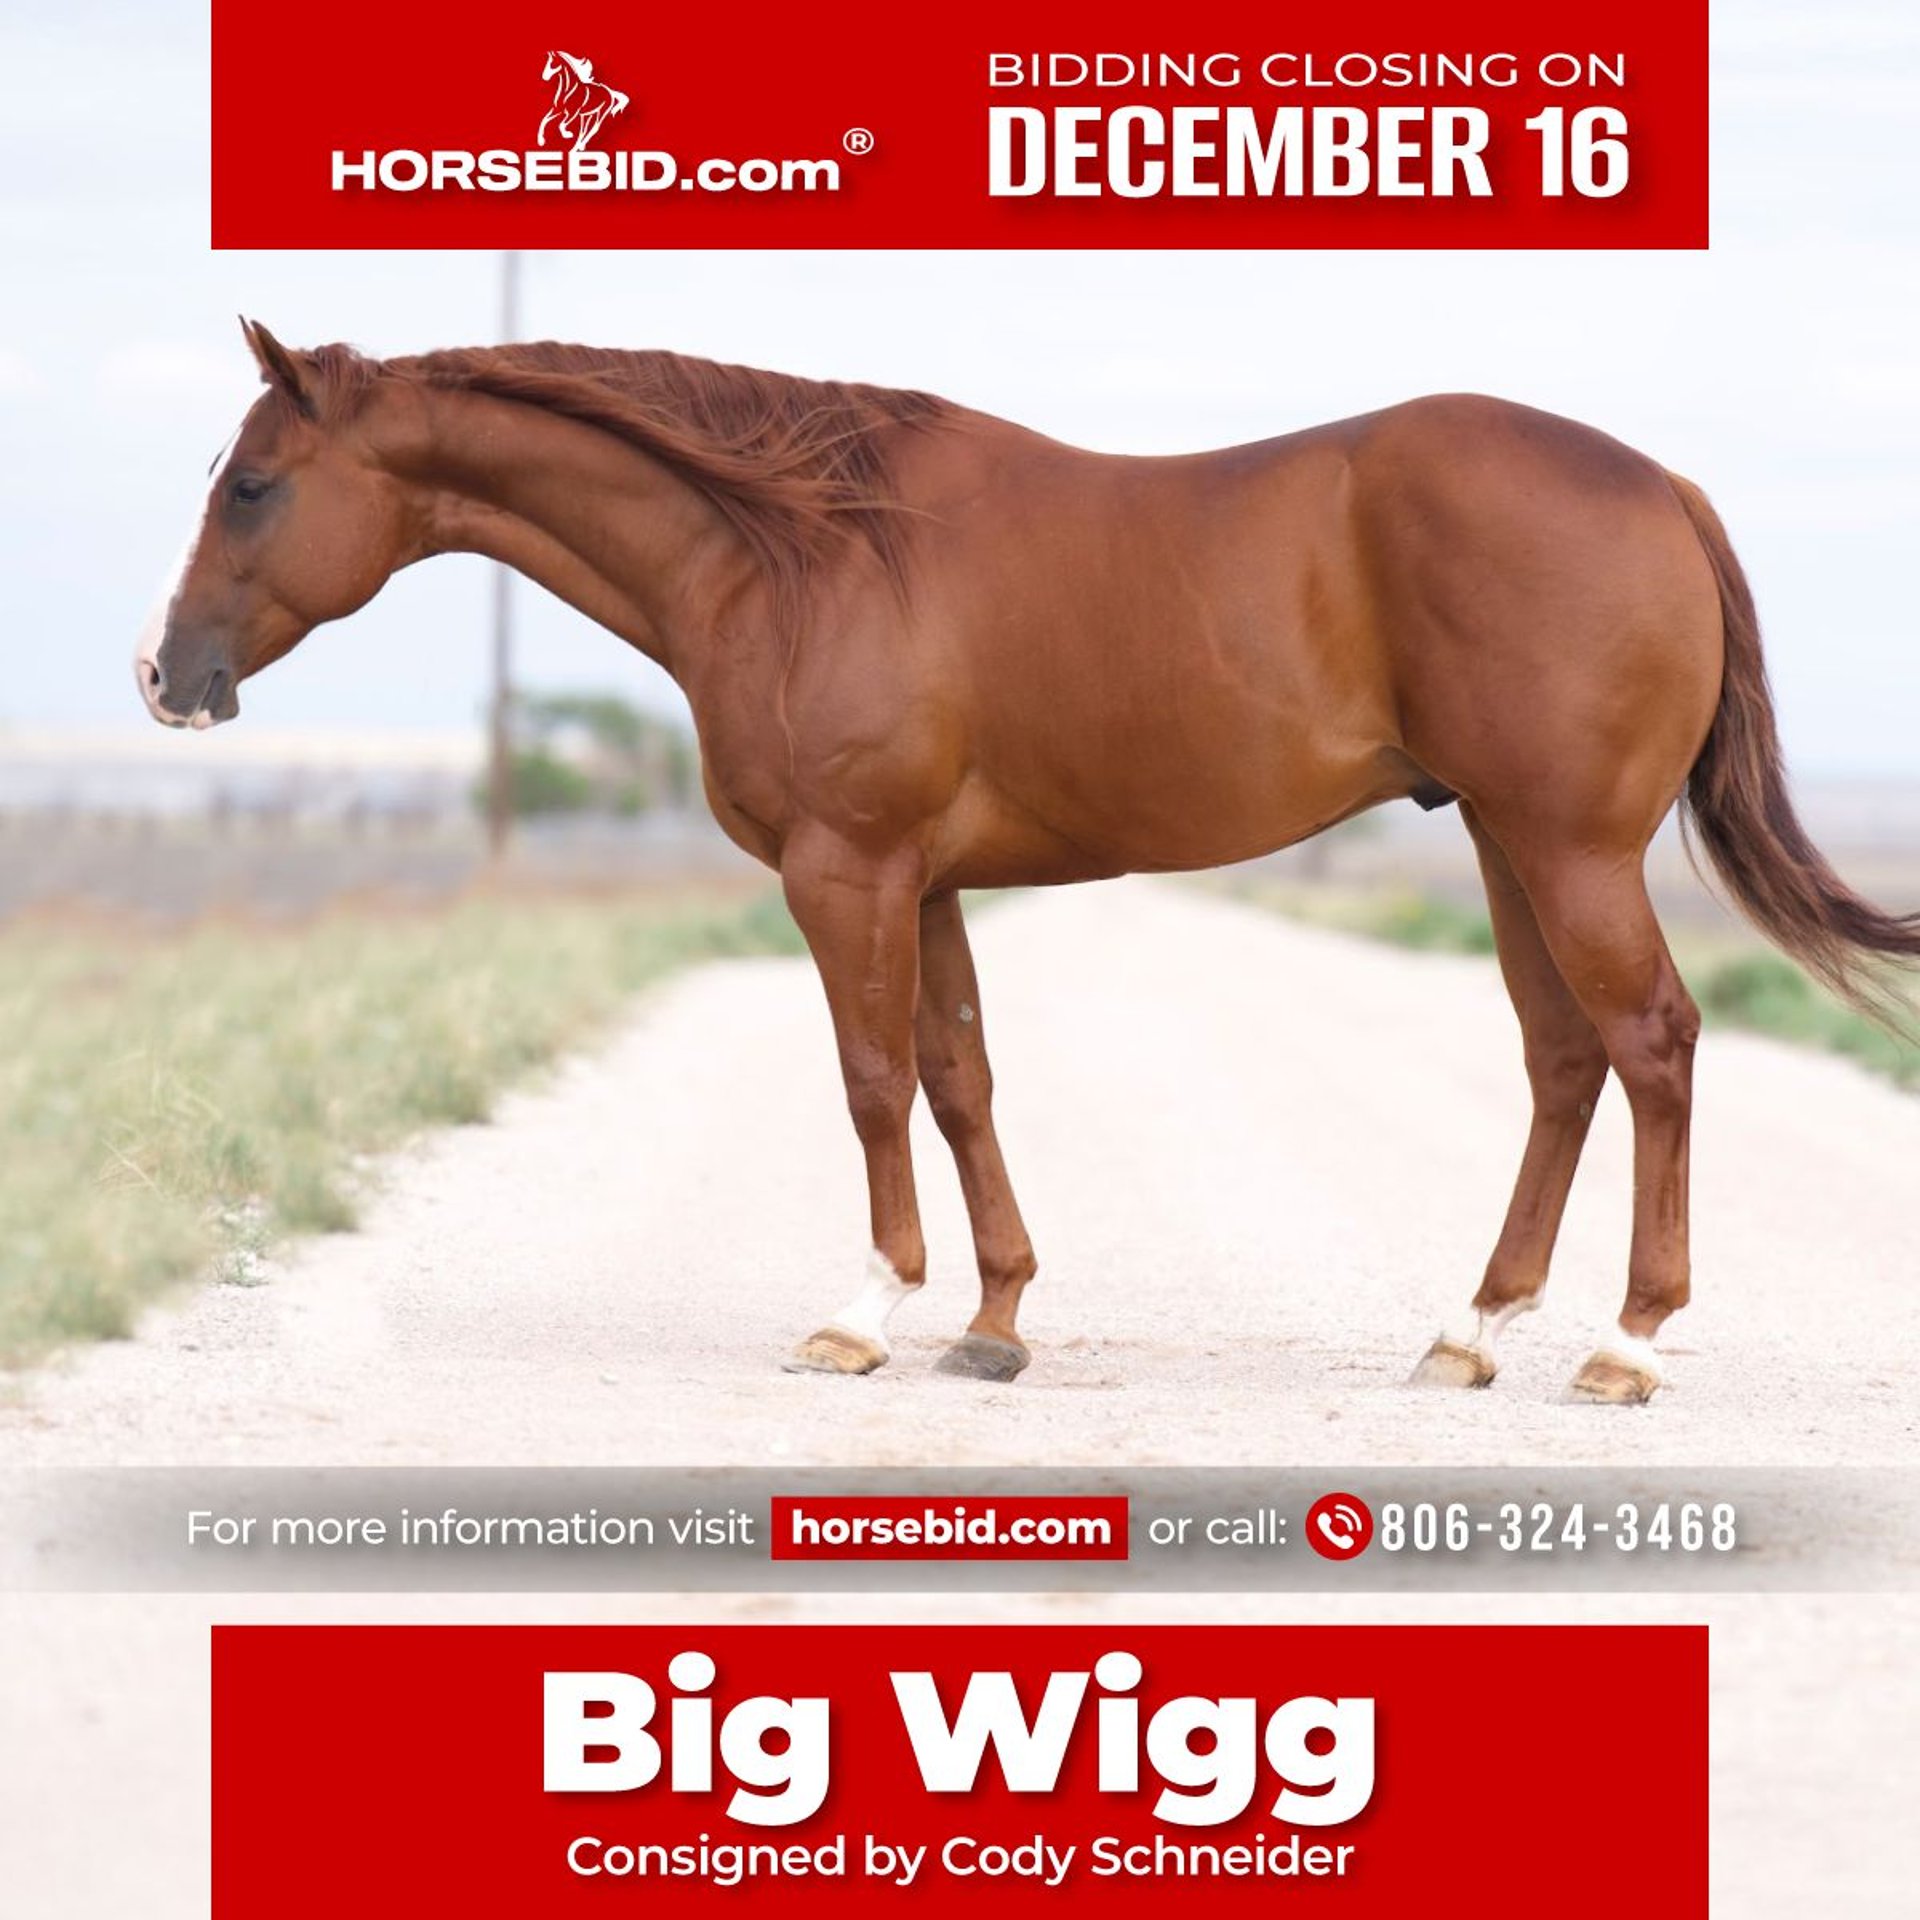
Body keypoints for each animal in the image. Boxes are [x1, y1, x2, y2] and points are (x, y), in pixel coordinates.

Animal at [135, 321, 1920, 1404]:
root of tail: (1661, 488)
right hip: (1502, 839)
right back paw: (1469, 1331)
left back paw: (1628, 1344)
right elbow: (956, 1076)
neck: (801, 549)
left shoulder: (844, 871)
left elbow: (870, 1081)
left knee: (1653, 1045)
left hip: (1567, 846)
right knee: (1564, 1060)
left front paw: (864, 1311)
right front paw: (992, 1322)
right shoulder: (921, 884)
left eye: (256, 482)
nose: (166, 678)